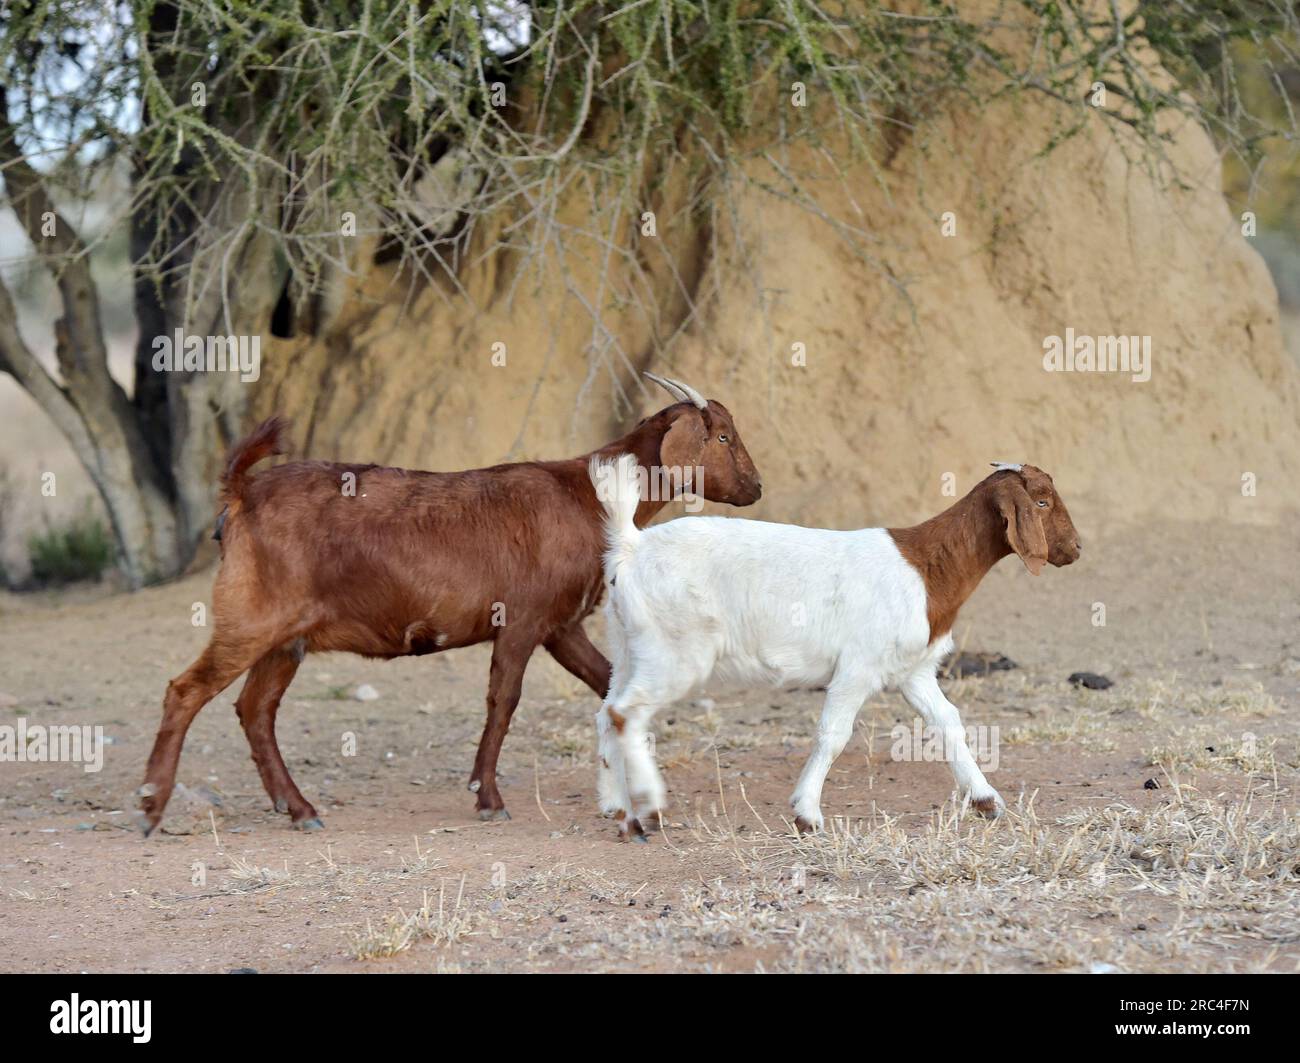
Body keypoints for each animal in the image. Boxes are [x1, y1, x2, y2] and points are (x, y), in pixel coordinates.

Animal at [137, 374, 762, 835]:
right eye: (723, 437)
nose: (755, 487)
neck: (587, 494)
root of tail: (242, 493)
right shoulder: (523, 620)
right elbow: (503, 701)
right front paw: (488, 798)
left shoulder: (559, 626)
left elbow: (605, 682)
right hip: (250, 619)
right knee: (184, 692)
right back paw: (151, 805)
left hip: (285, 639)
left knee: (255, 711)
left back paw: (299, 809)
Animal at [590, 457, 1080, 839]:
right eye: (1041, 502)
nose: (1075, 548)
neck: (927, 567)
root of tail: (632, 547)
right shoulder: (858, 668)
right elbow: (834, 734)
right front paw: (807, 814)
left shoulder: (913, 670)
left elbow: (947, 722)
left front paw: (985, 800)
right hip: (675, 652)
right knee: (627, 714)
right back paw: (650, 805)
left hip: (629, 647)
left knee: (607, 712)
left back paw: (620, 811)